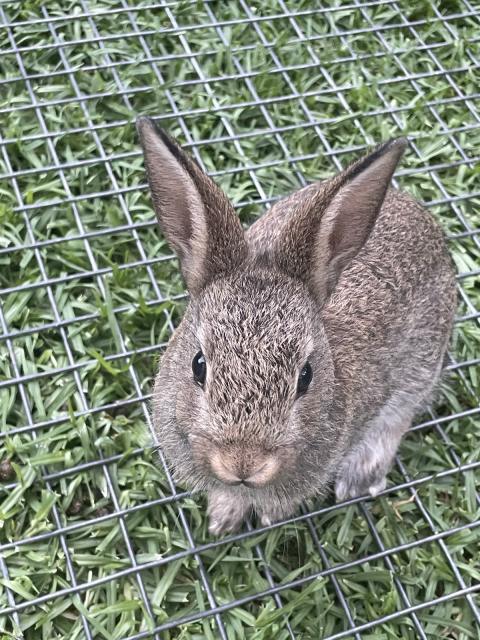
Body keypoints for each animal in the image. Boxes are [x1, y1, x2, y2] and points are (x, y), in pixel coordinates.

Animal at [137, 116, 457, 536]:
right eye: (198, 365)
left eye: (306, 376)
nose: (243, 464)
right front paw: (223, 516)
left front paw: (268, 513)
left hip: (422, 363)